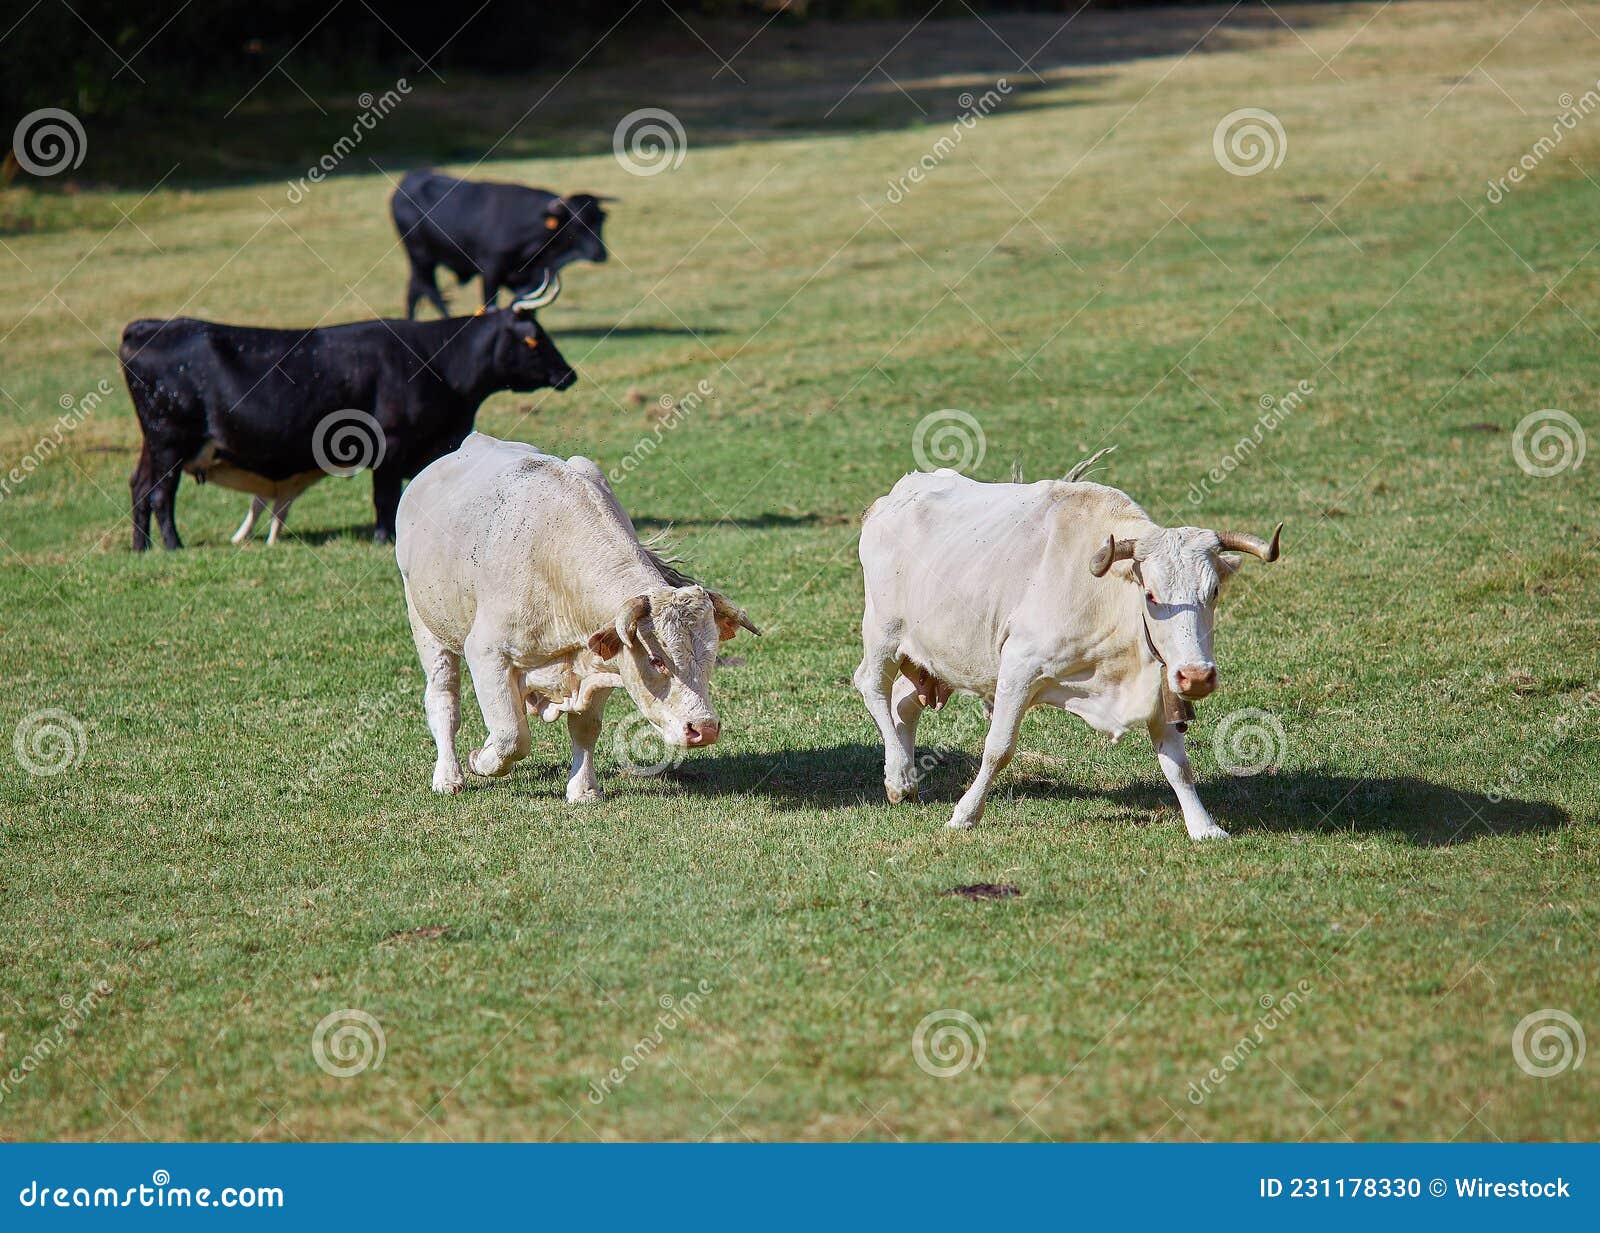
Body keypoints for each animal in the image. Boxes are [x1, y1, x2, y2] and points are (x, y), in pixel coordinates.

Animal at [120, 273, 574, 552]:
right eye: (533, 339)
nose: (568, 374)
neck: (435, 361)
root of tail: (146, 327)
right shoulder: (390, 447)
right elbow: (385, 497)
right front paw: (383, 538)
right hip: (170, 441)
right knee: (160, 493)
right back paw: (173, 545)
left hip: (155, 444)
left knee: (139, 486)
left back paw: (142, 548)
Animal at [390, 169, 609, 319]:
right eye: (577, 223)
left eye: (600, 221)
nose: (601, 254)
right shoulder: (490, 270)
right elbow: (490, 304)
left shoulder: (531, 279)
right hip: (421, 255)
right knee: (430, 290)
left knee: (414, 290)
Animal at [395, 432, 760, 802]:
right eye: (657, 660)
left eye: (711, 658)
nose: (705, 728)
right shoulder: (486, 654)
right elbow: (511, 735)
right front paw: (481, 760)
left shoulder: (597, 659)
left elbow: (585, 729)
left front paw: (583, 789)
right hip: (426, 626)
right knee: (444, 701)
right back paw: (448, 775)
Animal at [854, 458, 1281, 839]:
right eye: (1151, 594)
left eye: (1214, 591)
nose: (1197, 676)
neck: (1108, 597)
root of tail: (895, 495)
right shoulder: (1019, 667)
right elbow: (998, 748)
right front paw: (965, 814)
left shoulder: (1156, 679)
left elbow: (1178, 763)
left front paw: (1204, 826)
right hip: (883, 634)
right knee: (872, 687)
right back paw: (899, 774)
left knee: (904, 704)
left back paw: (902, 777)